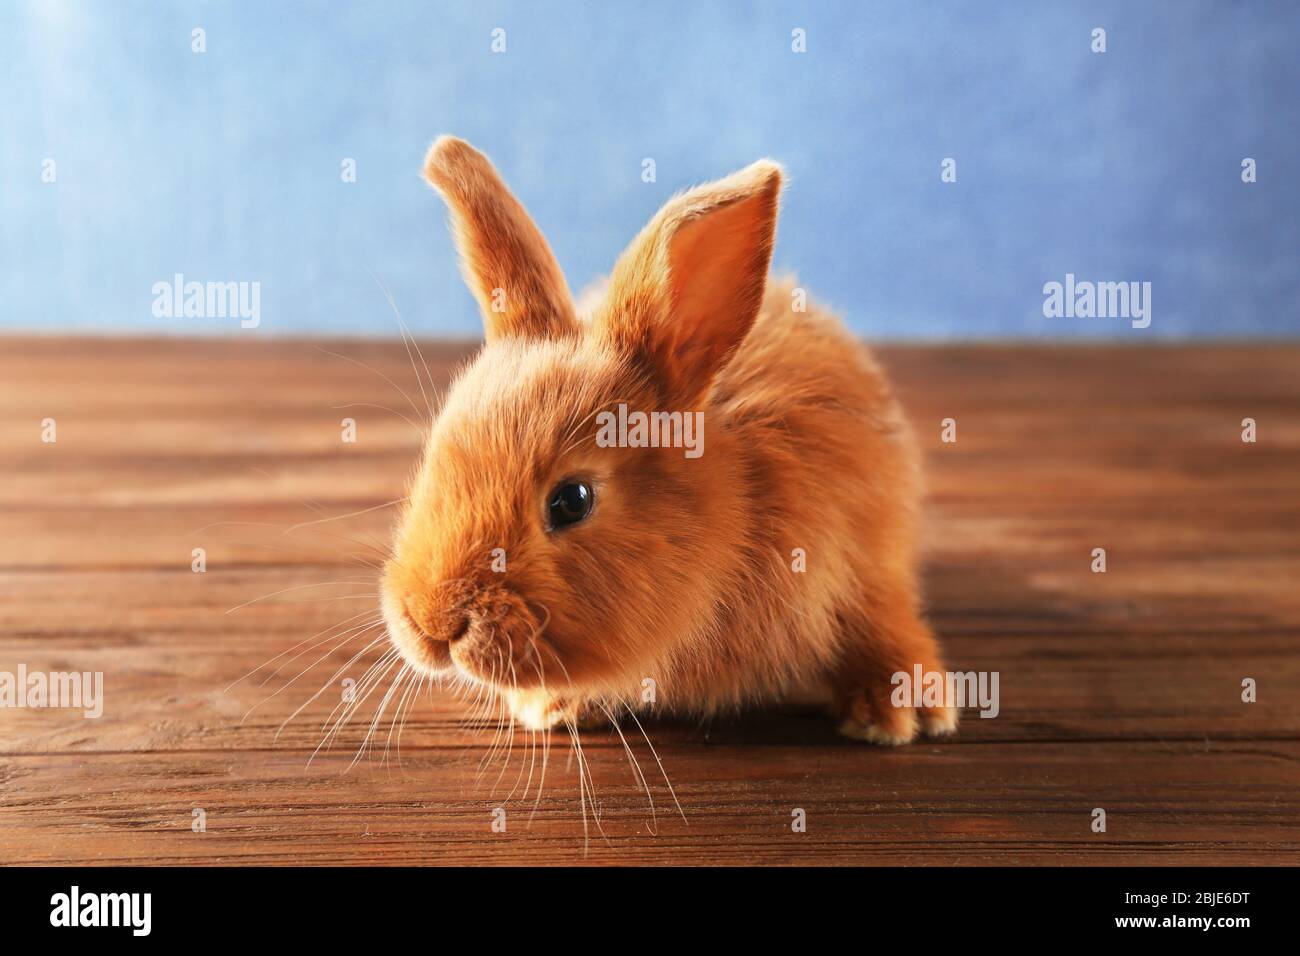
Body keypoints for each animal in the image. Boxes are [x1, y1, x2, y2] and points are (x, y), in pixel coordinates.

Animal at [380, 136, 956, 745]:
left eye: (572, 501)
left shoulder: (862, 559)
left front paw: (903, 713)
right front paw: (552, 706)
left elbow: (879, 624)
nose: (432, 622)